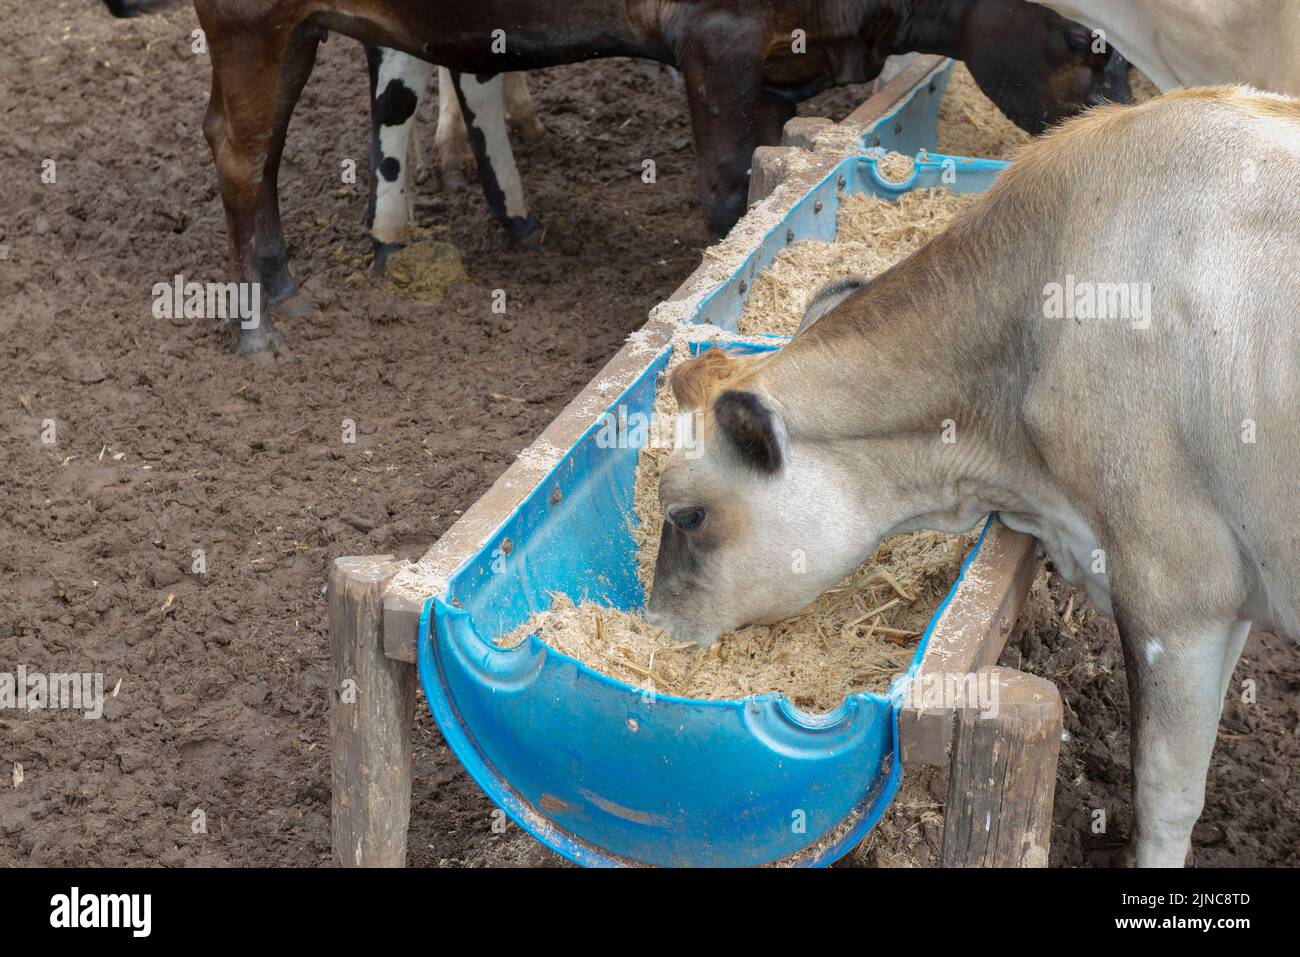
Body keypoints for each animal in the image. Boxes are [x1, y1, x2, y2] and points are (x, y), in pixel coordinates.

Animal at [193, 0, 1131, 357]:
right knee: (239, 147)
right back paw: (254, 321)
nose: (1127, 117)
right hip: (251, 20)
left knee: (263, 141)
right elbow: (723, 194)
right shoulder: (716, 42)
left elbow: (760, 186)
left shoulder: (773, 68)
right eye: (1087, 40)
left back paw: (287, 284)